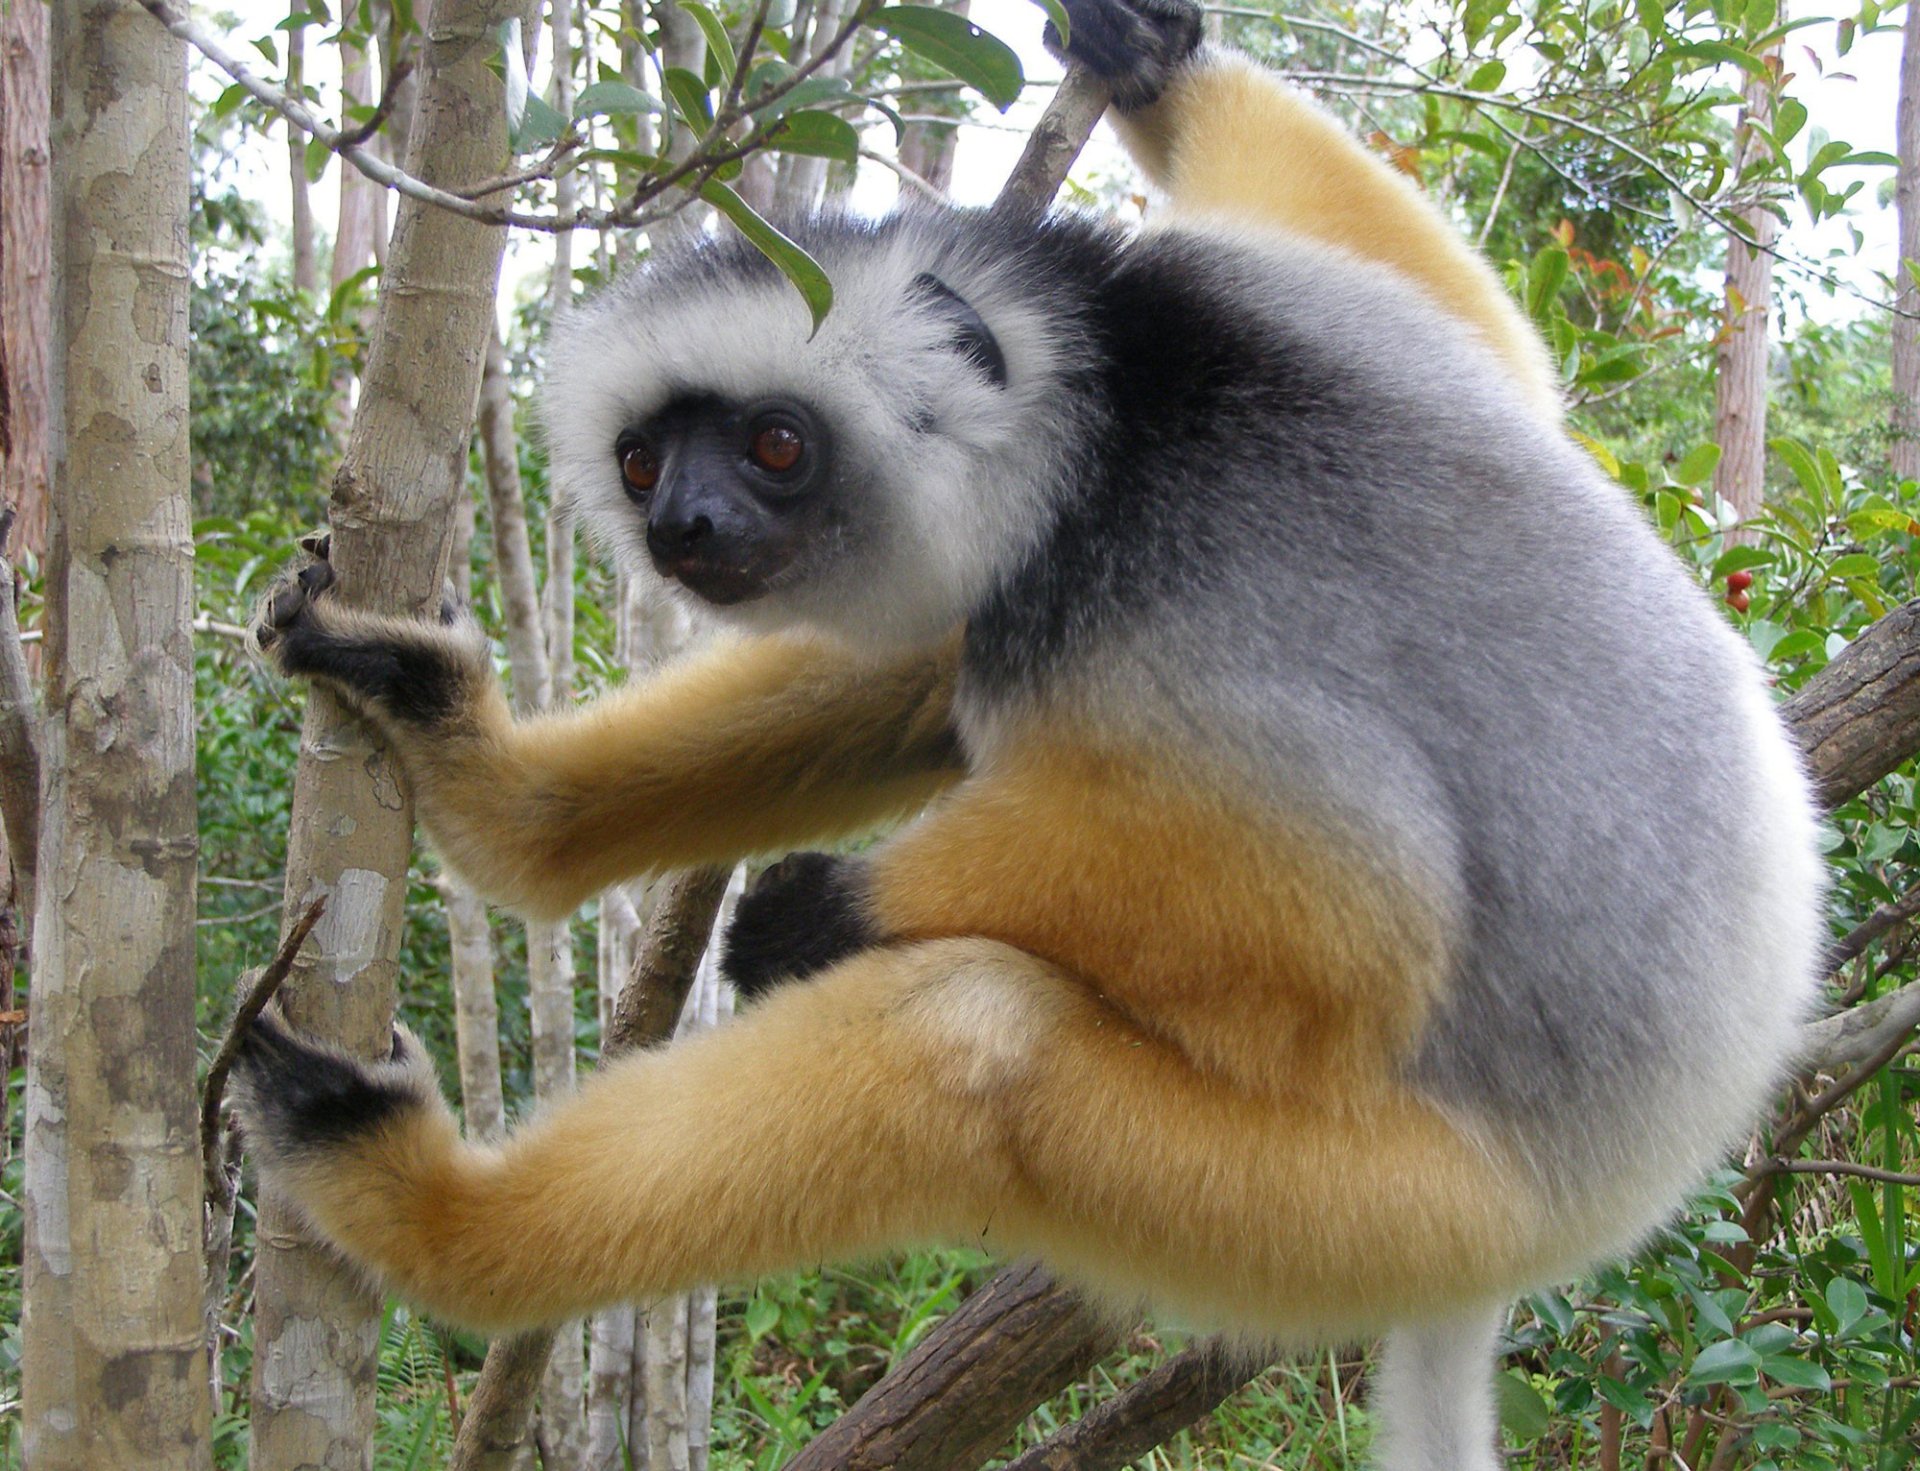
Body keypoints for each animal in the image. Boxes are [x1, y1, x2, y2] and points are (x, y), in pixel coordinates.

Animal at [232, 2, 1824, 1466]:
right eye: (642, 458)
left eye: (772, 445)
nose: (682, 526)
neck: (1117, 430)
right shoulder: (1261, 307)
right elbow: (1499, 355)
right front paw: (1146, 54)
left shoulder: (1189, 608)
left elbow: (1351, 932)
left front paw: (825, 908)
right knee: (950, 665)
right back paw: (487, 787)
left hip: (1366, 1209)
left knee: (979, 1037)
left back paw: (429, 1208)